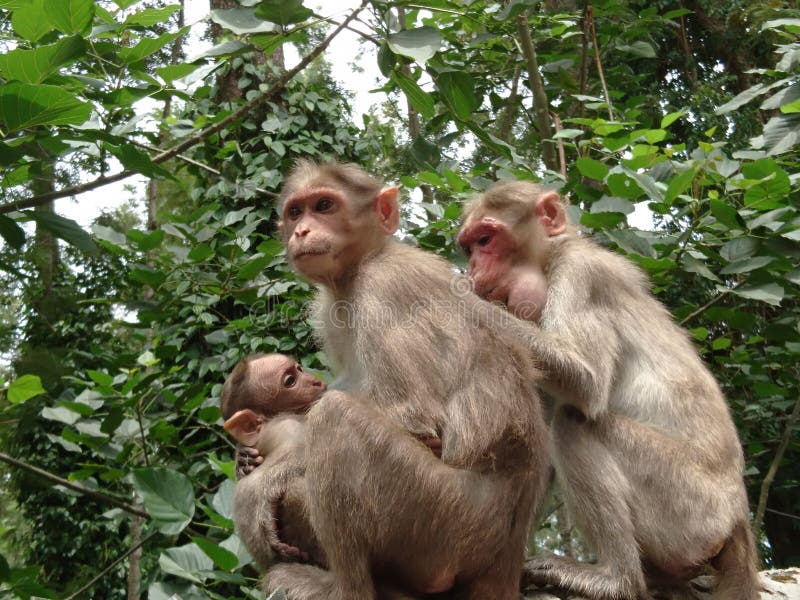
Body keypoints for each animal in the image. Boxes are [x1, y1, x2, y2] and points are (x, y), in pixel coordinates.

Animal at [264, 160, 551, 600]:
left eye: (325, 205)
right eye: (296, 212)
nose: (302, 231)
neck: (366, 262)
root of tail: (508, 556)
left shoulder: (383, 289)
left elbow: (415, 420)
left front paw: (274, 471)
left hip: (444, 522)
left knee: (335, 418)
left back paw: (345, 590)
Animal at [457, 180, 761, 600]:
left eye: (486, 240)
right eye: (469, 247)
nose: (472, 267)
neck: (552, 258)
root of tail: (736, 522)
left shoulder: (581, 276)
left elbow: (585, 382)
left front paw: (454, 294)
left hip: (688, 512)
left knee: (575, 424)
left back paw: (617, 579)